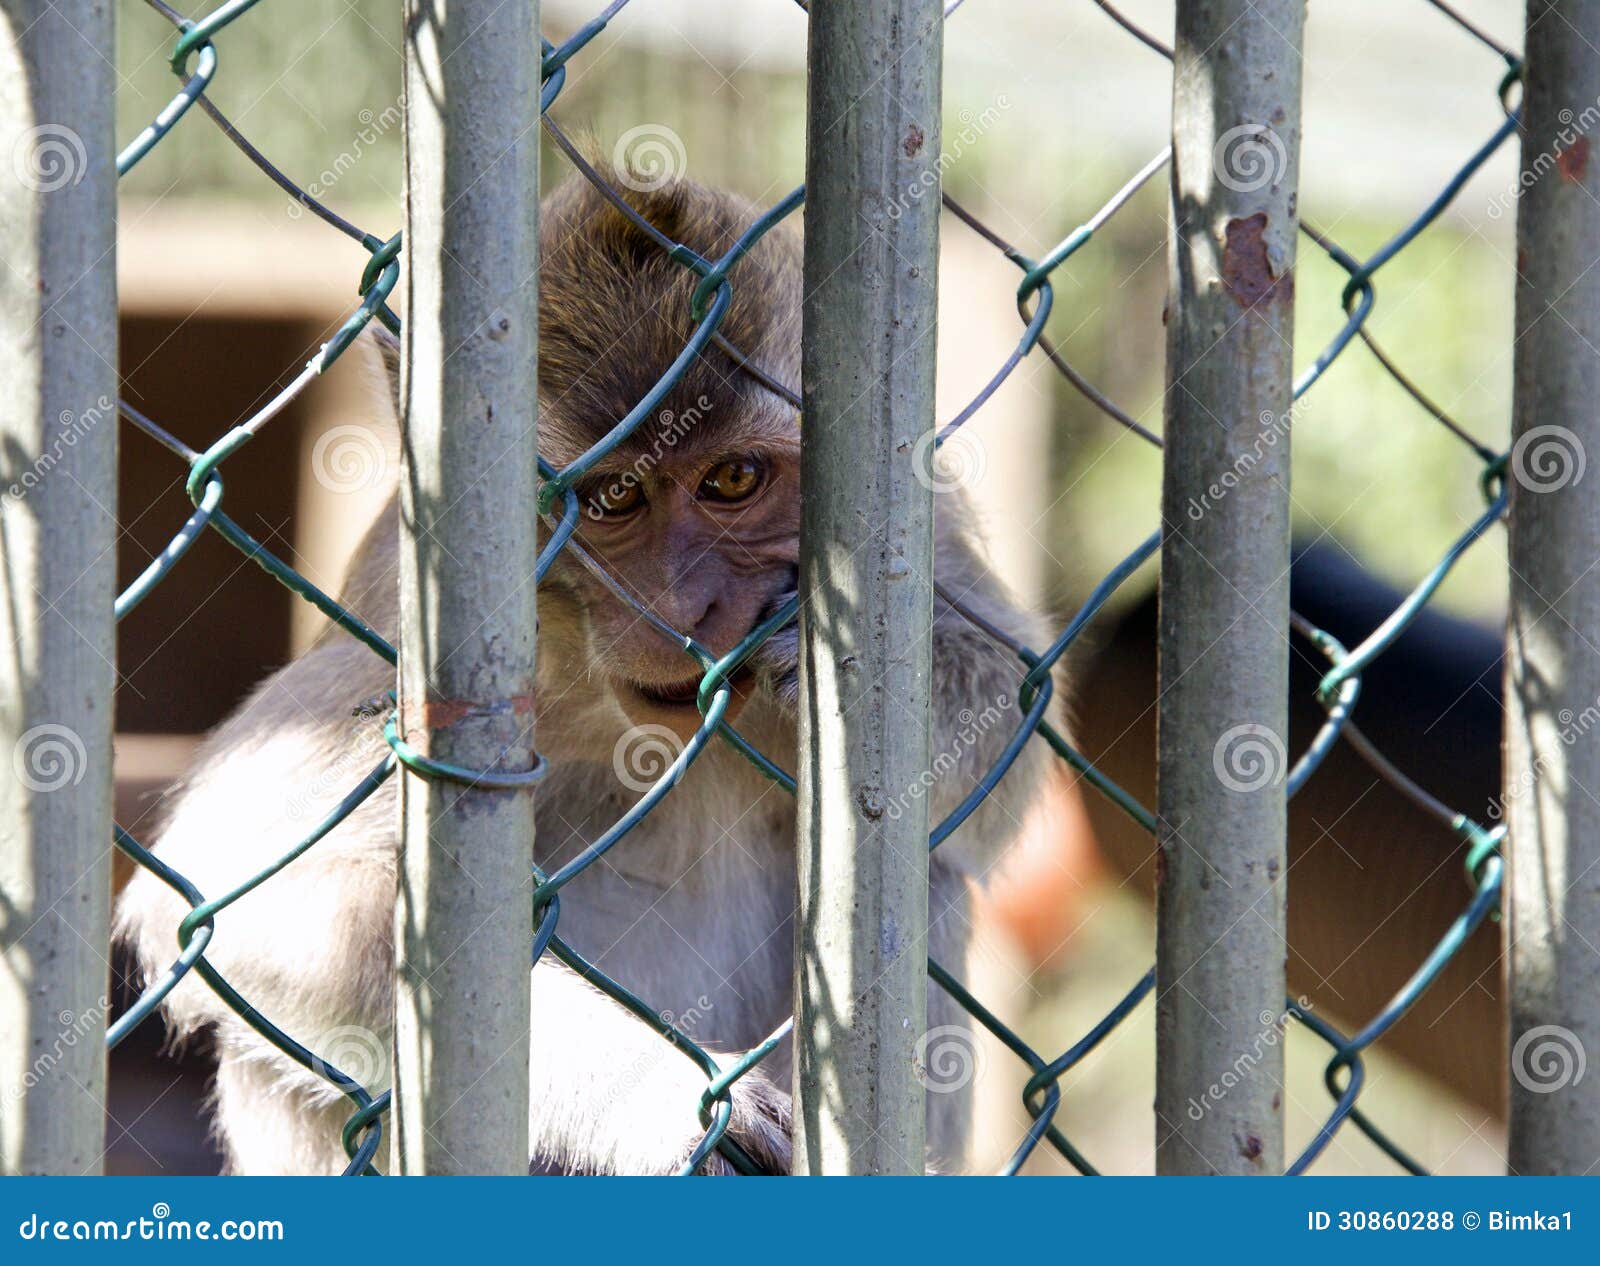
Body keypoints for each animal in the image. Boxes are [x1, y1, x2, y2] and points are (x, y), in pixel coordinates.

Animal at [114, 164, 1057, 1176]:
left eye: (733, 480)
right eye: (612, 498)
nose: (685, 609)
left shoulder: (922, 516)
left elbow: (1009, 729)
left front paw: (810, 652)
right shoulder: (399, 635)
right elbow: (251, 893)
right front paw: (661, 1101)